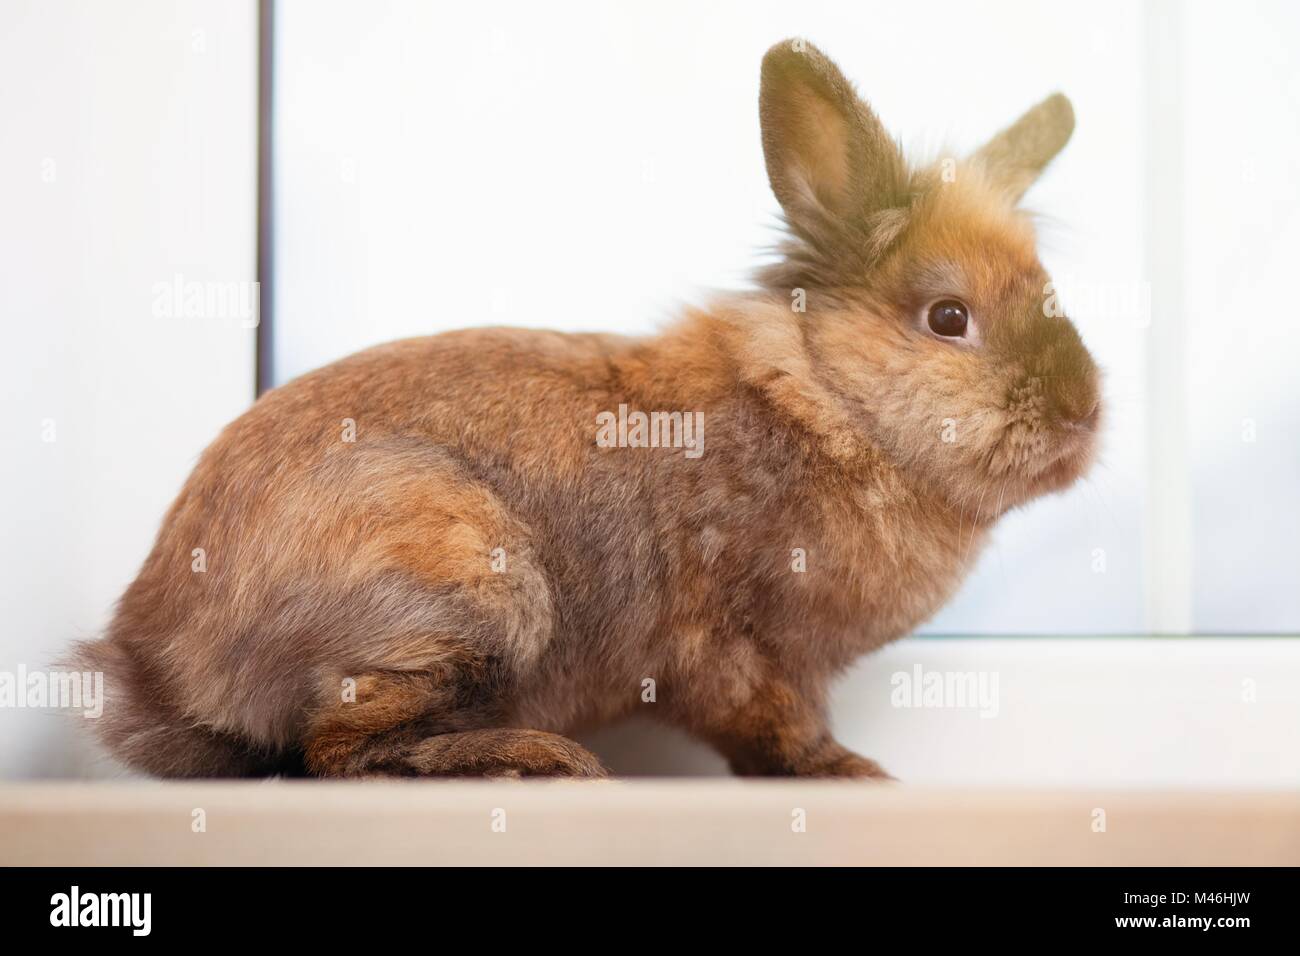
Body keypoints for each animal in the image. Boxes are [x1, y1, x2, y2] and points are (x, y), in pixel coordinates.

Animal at [75, 38, 1099, 779]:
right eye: (948, 317)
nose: (1083, 413)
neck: (825, 401)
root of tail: (164, 652)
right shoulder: (740, 656)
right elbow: (778, 731)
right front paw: (851, 774)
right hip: (467, 594)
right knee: (339, 752)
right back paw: (531, 761)